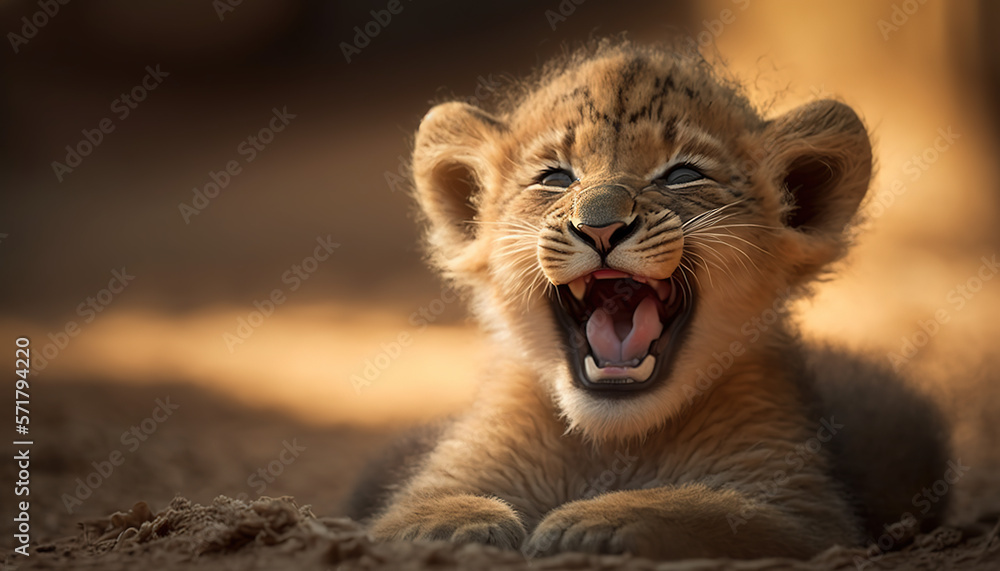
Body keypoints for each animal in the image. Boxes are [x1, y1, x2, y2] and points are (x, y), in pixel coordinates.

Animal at [348, 40, 951, 560]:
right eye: (555, 177)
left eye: (682, 174)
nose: (600, 227)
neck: (616, 441)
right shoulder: (450, 472)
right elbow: (408, 516)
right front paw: (462, 521)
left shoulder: (808, 511)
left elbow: (707, 512)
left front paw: (593, 520)